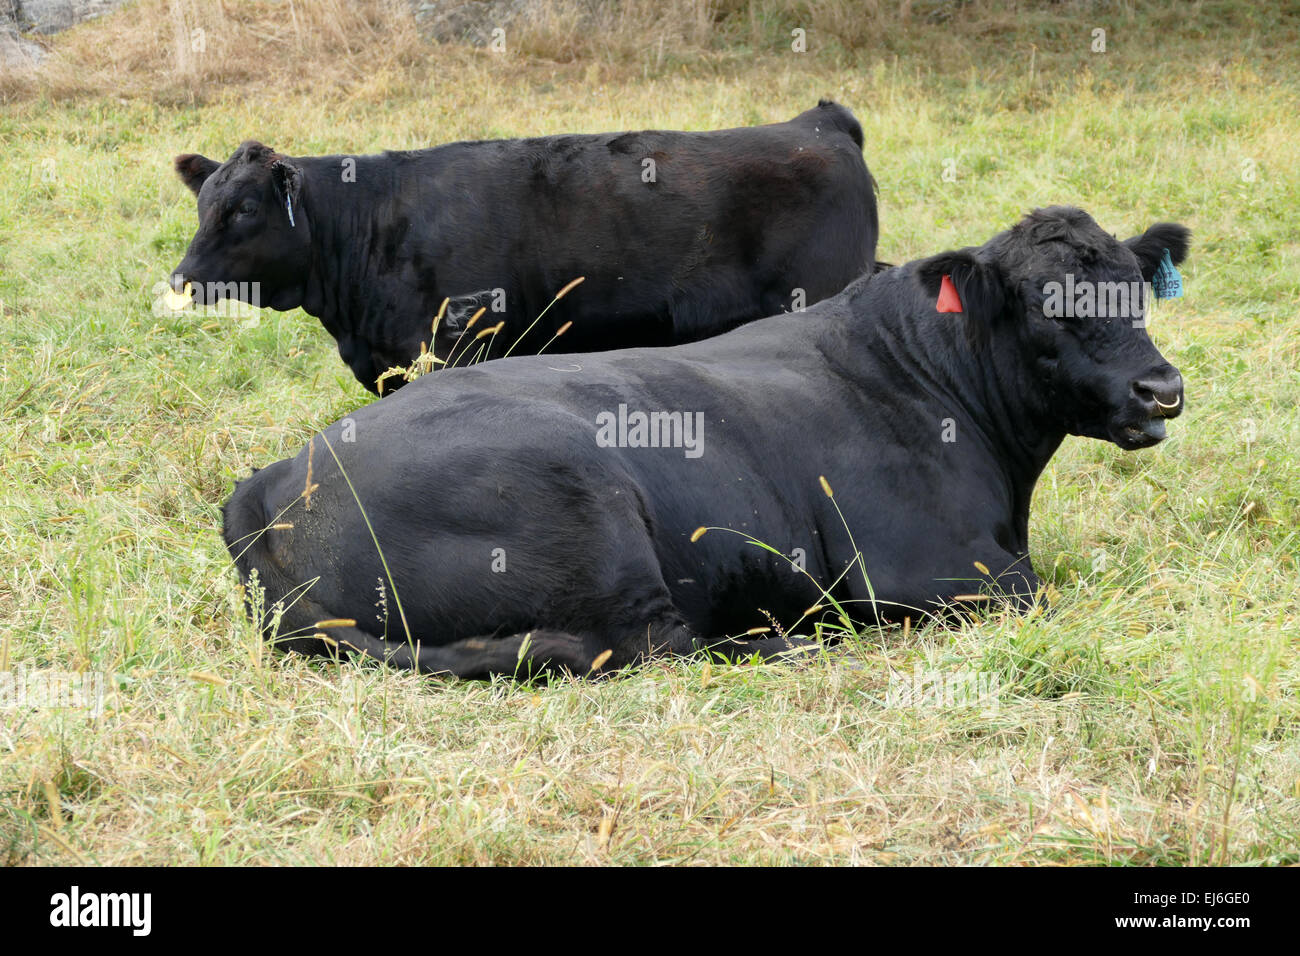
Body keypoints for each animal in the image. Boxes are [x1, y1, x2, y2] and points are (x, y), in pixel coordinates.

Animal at [221, 206, 1189, 680]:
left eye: (1138, 290)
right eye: (1050, 306)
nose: (1162, 389)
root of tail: (279, 477)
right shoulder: (928, 572)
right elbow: (1041, 591)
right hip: (590, 511)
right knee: (651, 645)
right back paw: (789, 644)